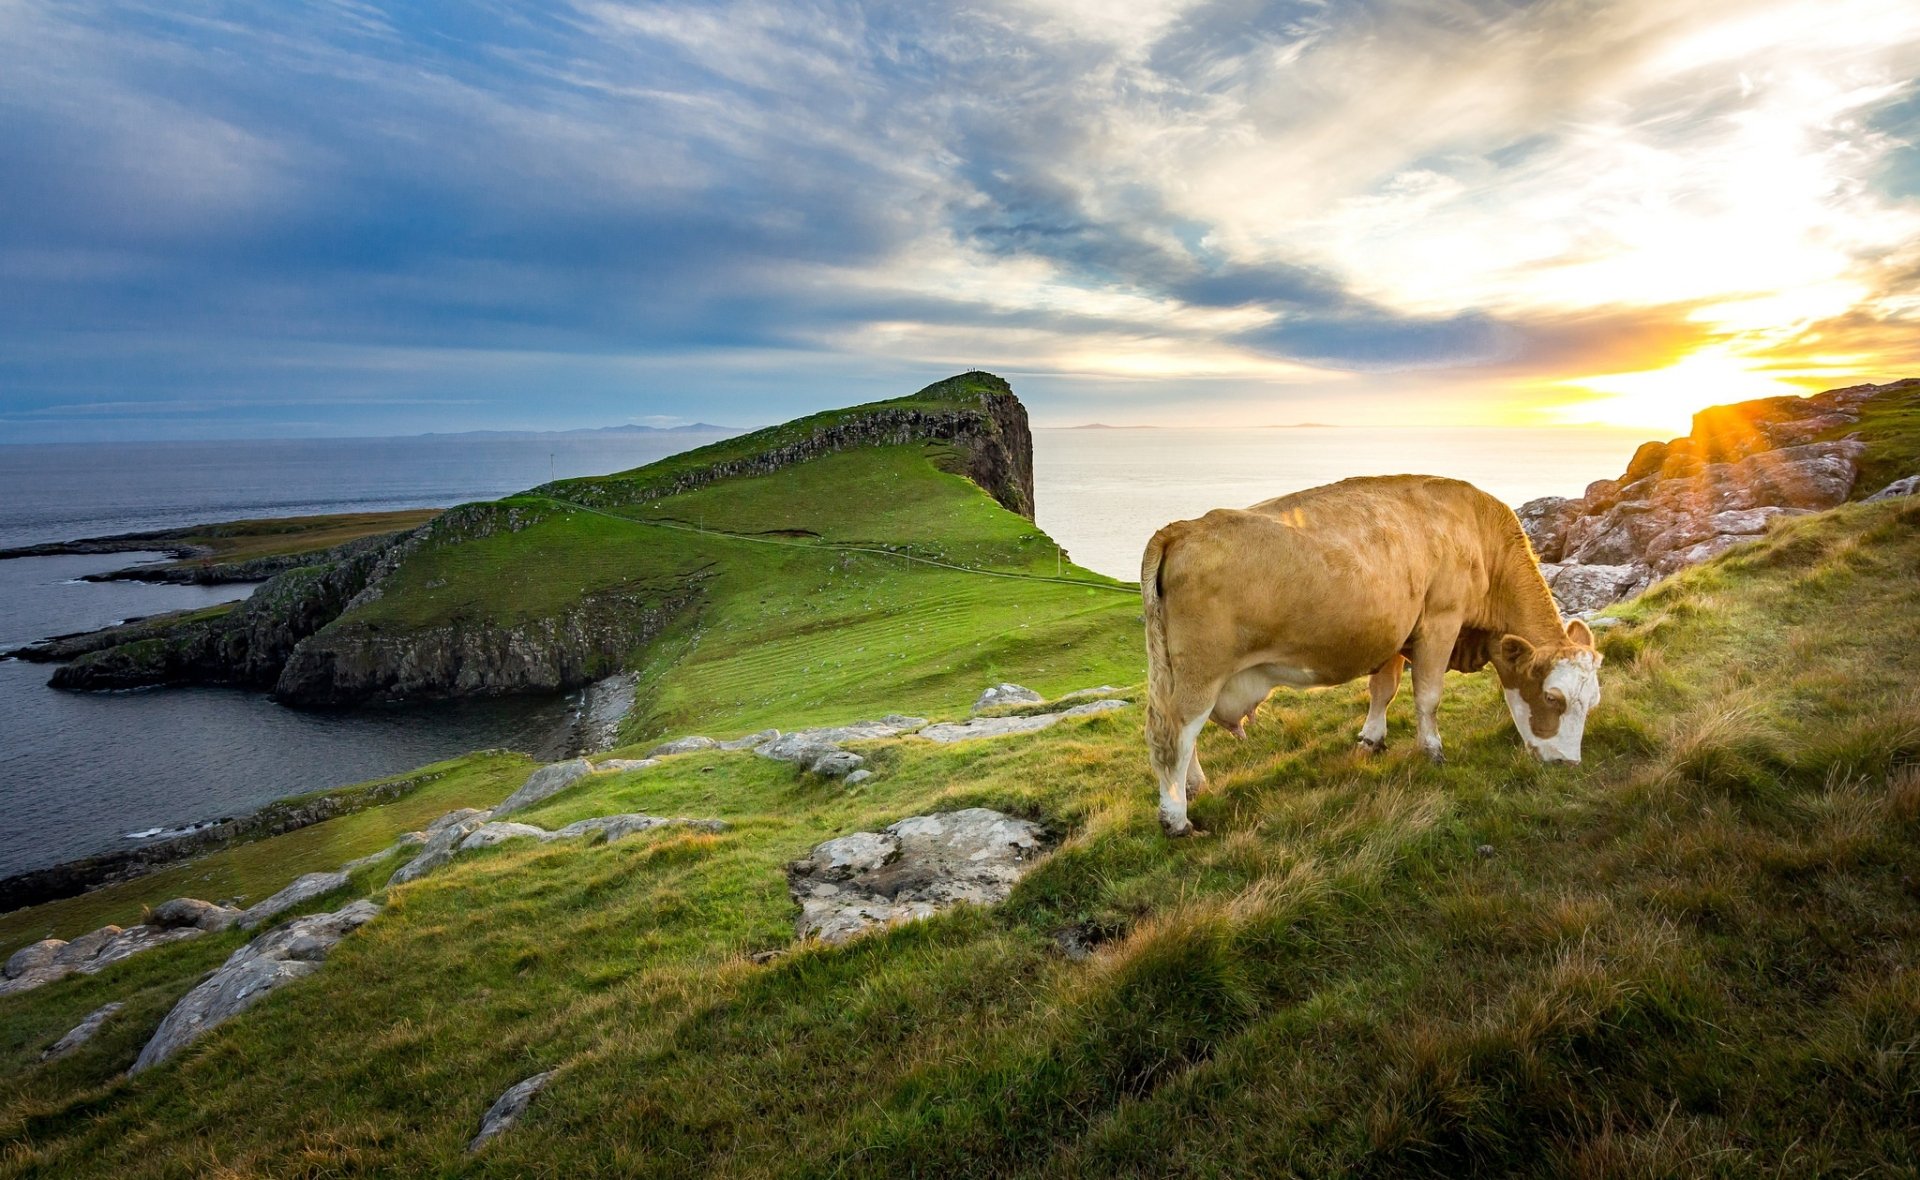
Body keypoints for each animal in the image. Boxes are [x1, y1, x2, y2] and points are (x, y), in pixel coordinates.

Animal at [1140, 475, 1602, 836]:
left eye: (1592, 700)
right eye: (1552, 698)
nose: (1569, 764)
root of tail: (1180, 529)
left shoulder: (1397, 633)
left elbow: (1384, 690)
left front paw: (1371, 739)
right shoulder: (1441, 621)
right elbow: (1428, 696)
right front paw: (1433, 751)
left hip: (1180, 675)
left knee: (1184, 735)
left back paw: (1194, 787)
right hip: (1201, 673)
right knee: (1174, 734)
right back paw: (1176, 818)